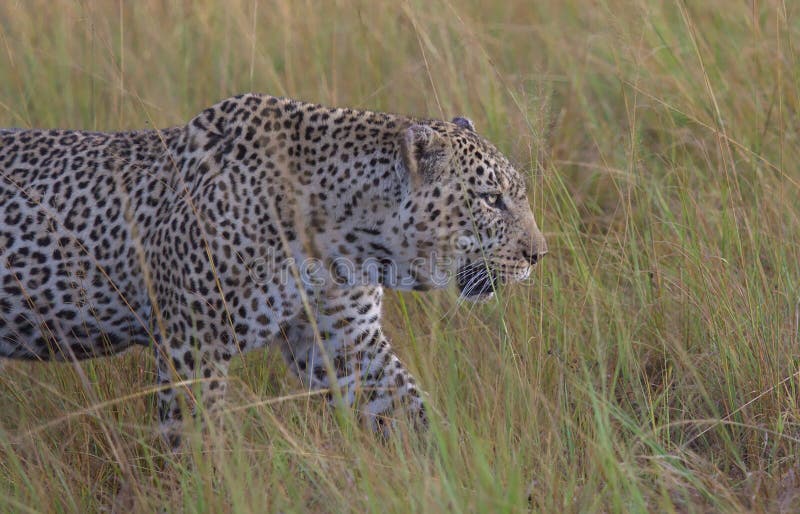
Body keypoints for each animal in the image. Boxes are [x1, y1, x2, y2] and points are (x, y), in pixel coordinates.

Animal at [0, 93, 547, 447]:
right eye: (491, 200)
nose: (539, 255)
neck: (343, 236)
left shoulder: (347, 341)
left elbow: (411, 412)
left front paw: (466, 472)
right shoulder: (191, 348)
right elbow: (197, 445)